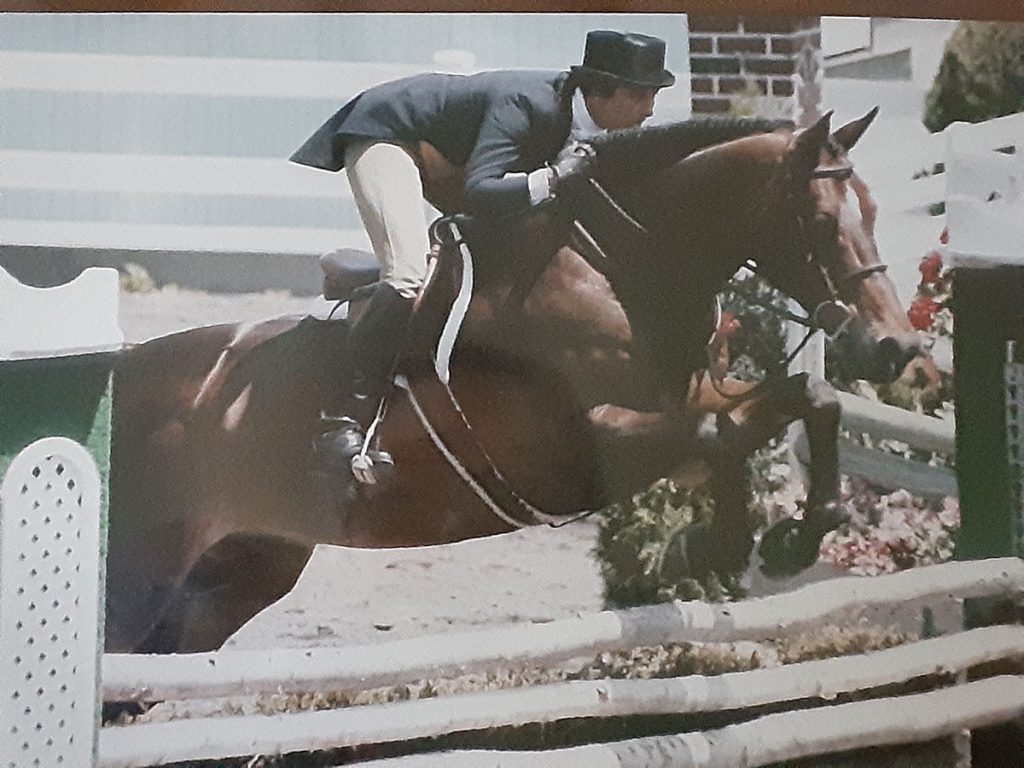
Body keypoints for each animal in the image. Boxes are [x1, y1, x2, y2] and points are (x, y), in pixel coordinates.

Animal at [106, 108, 924, 656]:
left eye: (875, 212)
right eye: (823, 224)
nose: (893, 347)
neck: (625, 267)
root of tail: (126, 374)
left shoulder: (699, 399)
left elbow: (799, 403)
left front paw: (792, 538)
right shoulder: (585, 445)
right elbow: (714, 436)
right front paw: (709, 547)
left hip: (249, 565)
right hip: (145, 567)